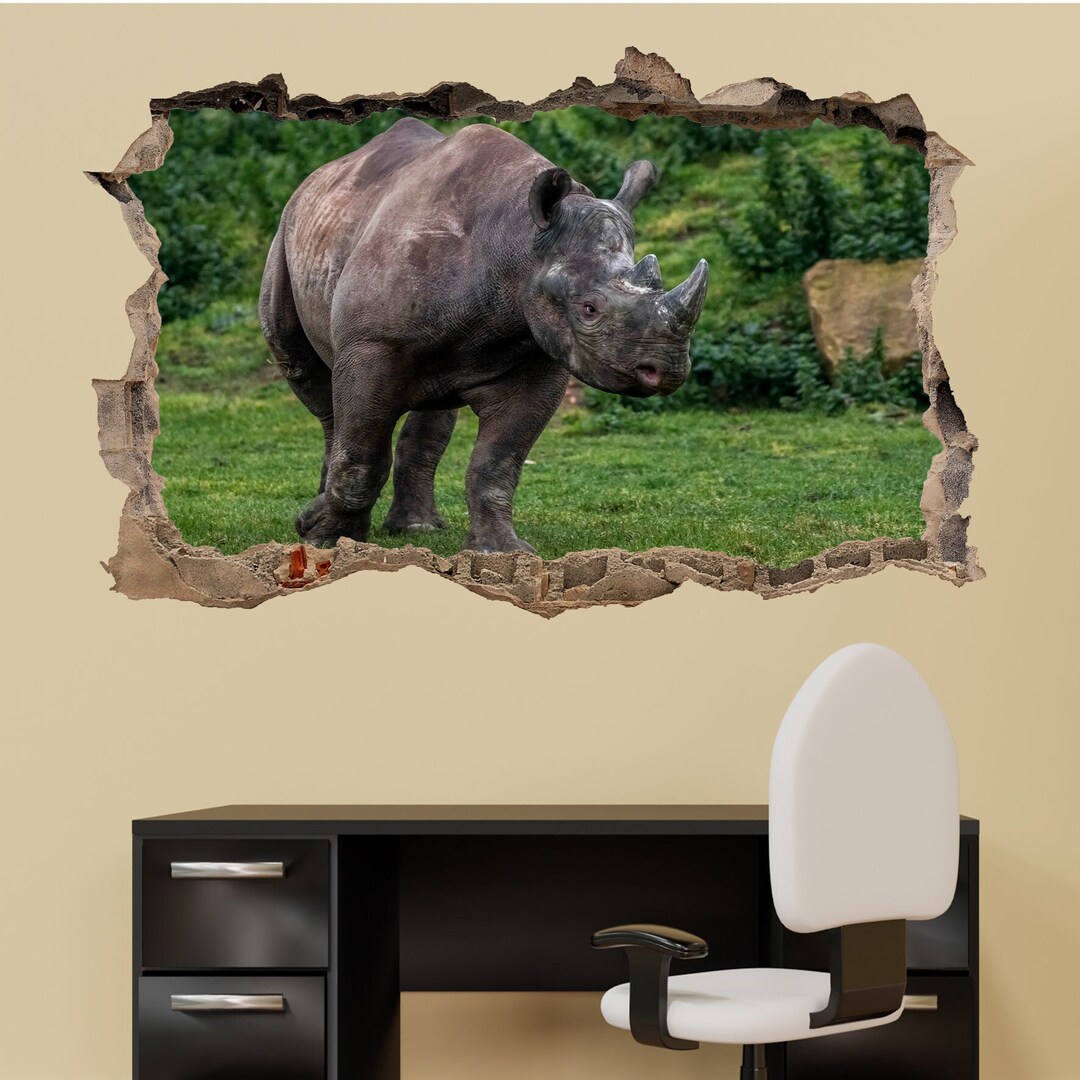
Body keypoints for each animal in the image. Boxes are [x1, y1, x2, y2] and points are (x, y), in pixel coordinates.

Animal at [259, 117, 709, 553]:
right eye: (589, 309)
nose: (666, 369)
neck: (518, 243)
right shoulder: (371, 345)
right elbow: (362, 456)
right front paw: (326, 539)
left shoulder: (540, 353)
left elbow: (498, 463)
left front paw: (502, 551)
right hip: (285, 235)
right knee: (313, 385)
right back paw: (322, 517)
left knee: (432, 405)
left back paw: (417, 528)